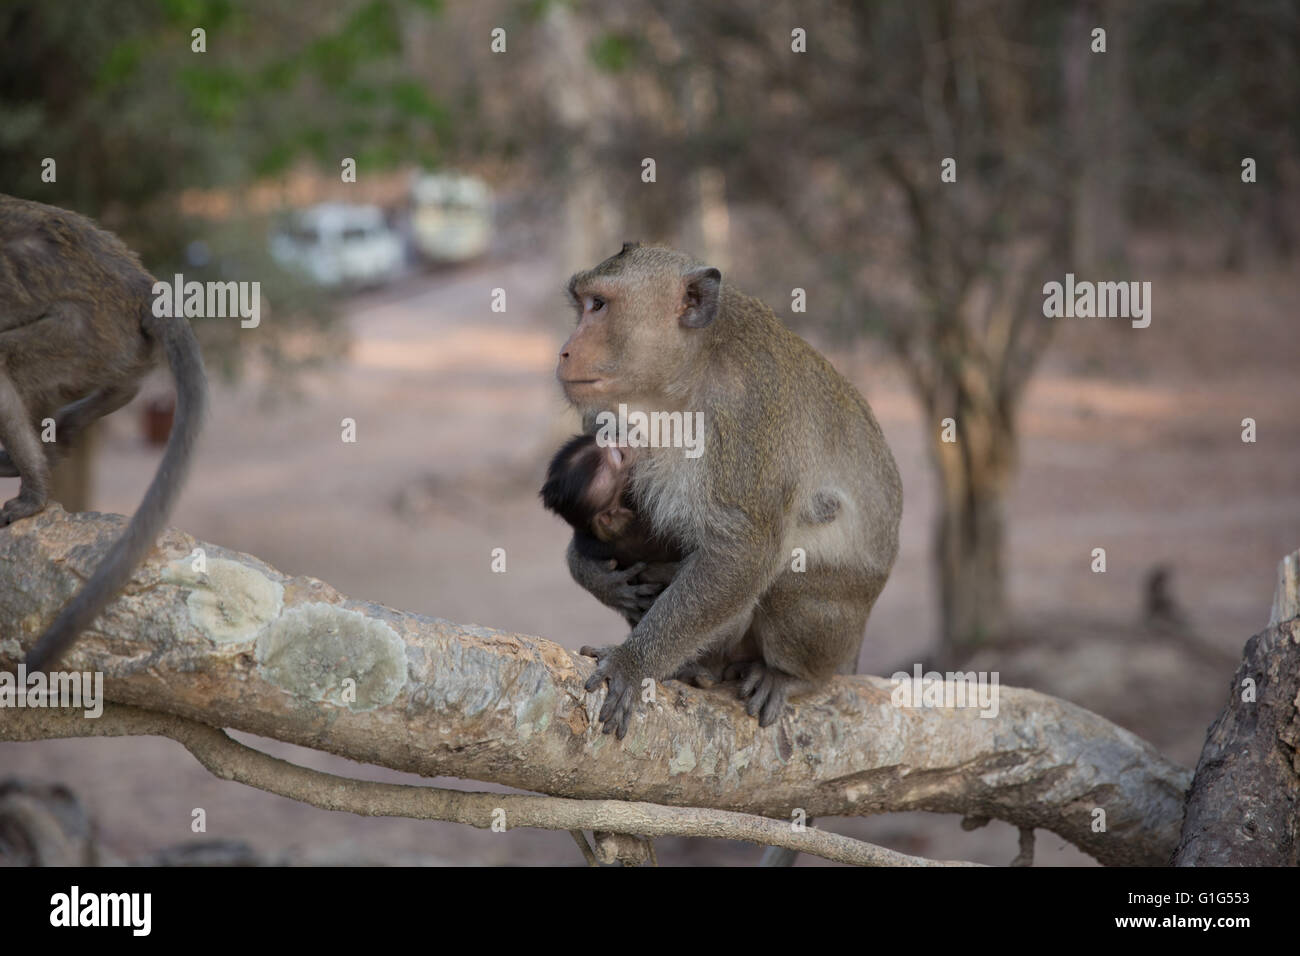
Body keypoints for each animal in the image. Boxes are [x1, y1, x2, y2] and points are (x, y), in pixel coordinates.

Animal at [556, 242, 902, 737]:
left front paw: (633, 663)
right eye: (581, 304)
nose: (565, 351)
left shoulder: (747, 417)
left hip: (842, 625)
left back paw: (791, 676)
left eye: (599, 305)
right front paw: (596, 576)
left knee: (789, 580)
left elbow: (744, 554)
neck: (681, 388)